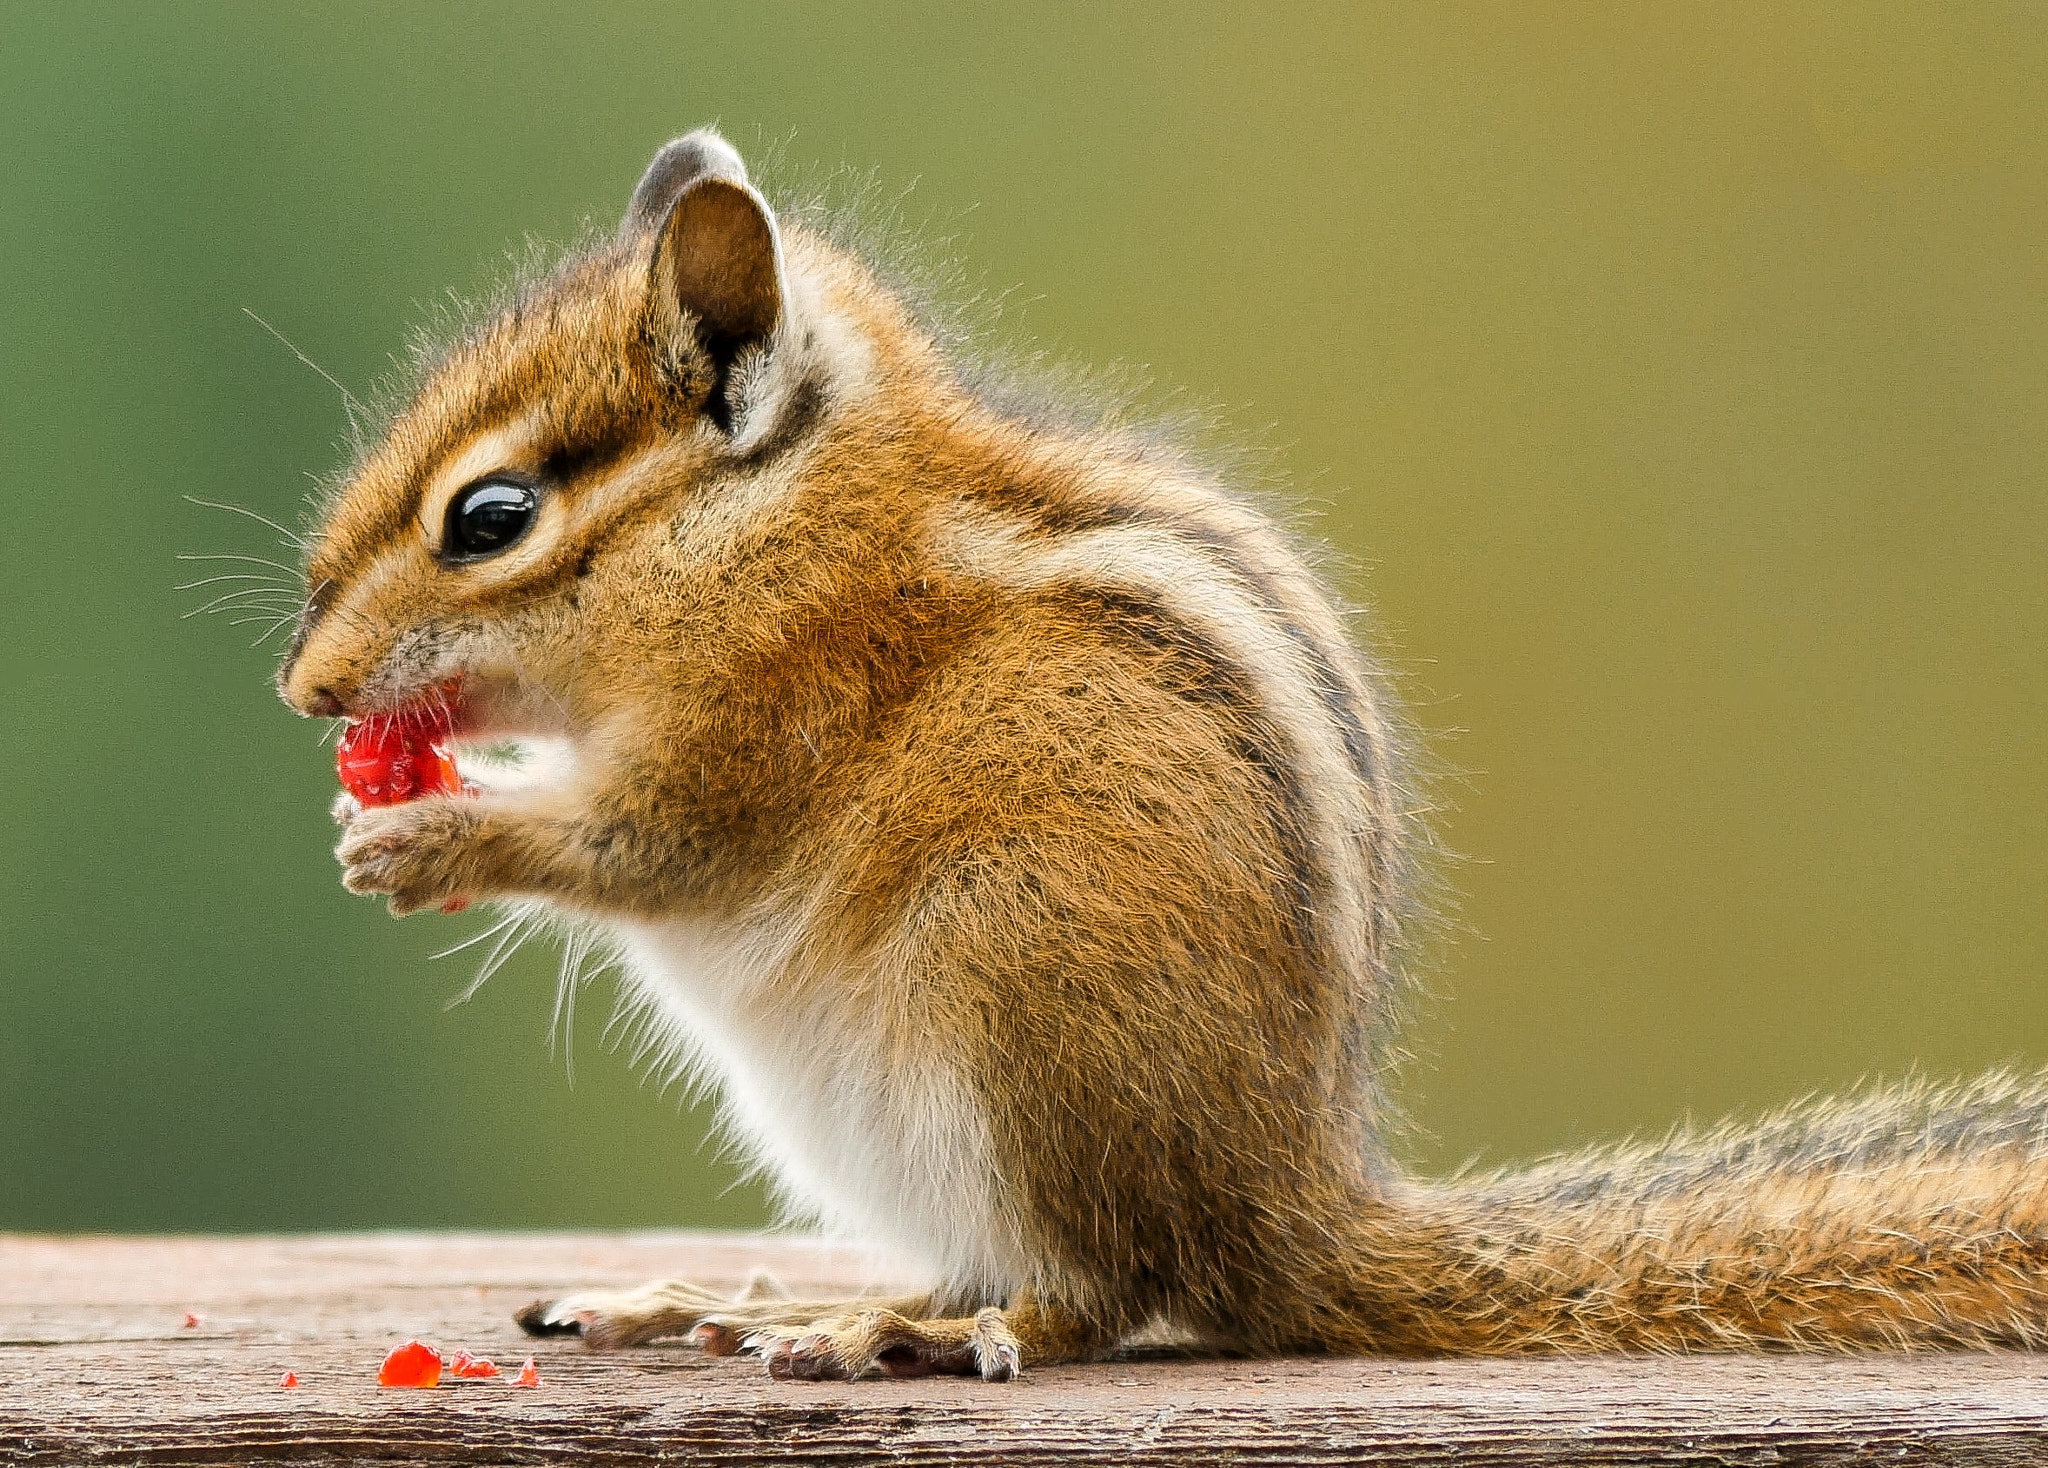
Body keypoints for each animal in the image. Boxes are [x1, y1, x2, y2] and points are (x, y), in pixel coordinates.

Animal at [277, 130, 2048, 1381]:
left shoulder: (764, 714)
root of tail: (1288, 1202)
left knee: (1099, 1294)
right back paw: (729, 1297)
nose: (306, 690)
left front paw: (432, 842)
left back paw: (902, 1331)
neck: (769, 520)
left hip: (1007, 984)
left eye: (490, 518)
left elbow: (650, 842)